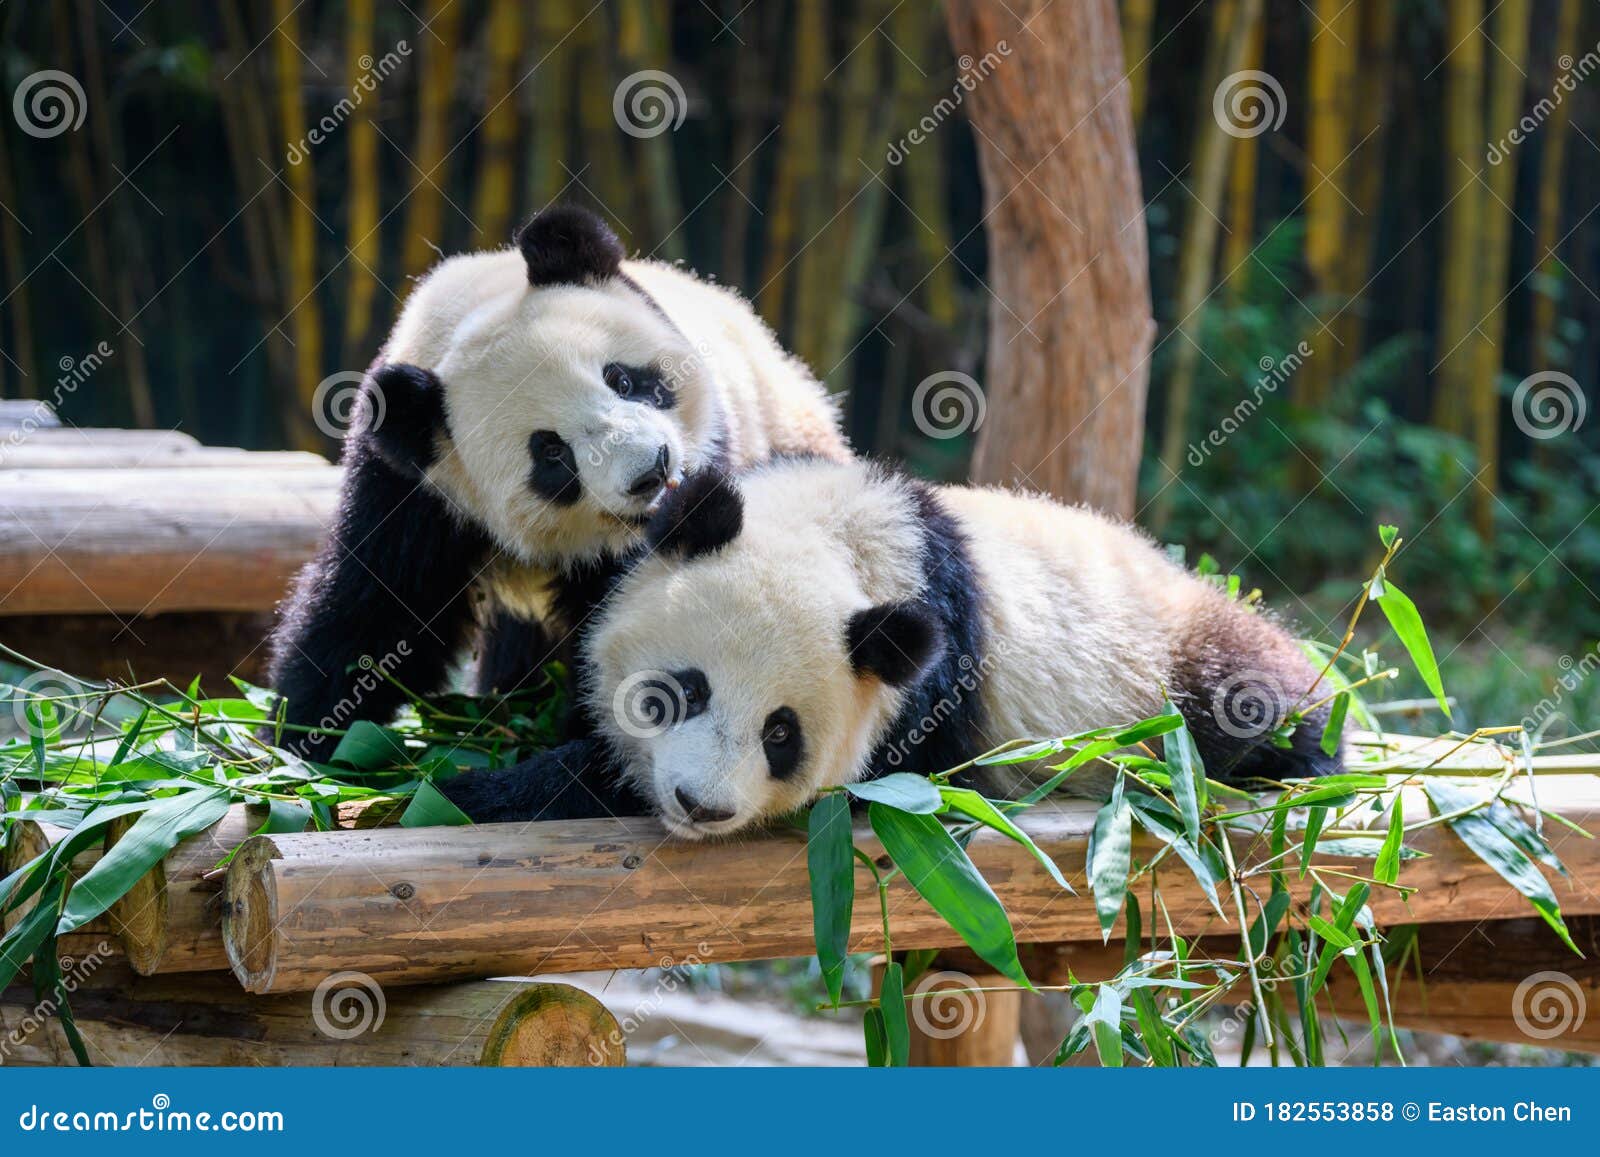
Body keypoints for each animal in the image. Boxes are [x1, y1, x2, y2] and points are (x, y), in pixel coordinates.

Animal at [266, 207, 848, 759]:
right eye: (551, 453)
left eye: (621, 379)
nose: (651, 472)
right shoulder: (414, 486)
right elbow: (378, 609)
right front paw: (301, 738)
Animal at [442, 457, 1340, 836]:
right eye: (682, 690)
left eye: (781, 733)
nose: (701, 806)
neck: (844, 529)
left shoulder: (929, 699)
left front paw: (476, 789)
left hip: (1168, 655)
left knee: (1249, 693)